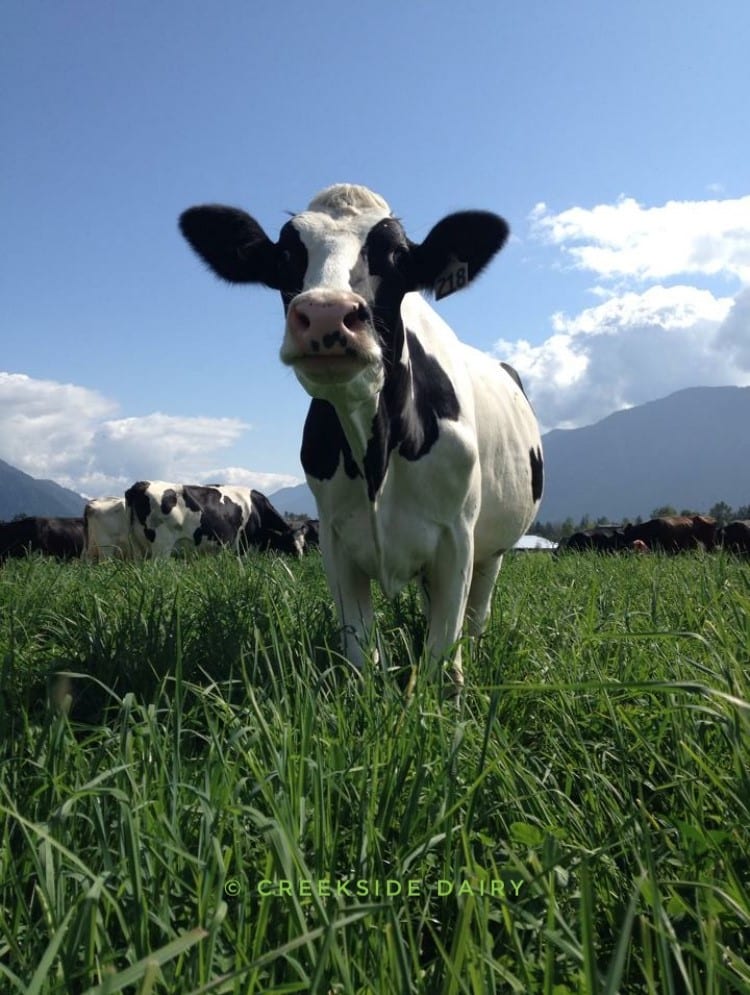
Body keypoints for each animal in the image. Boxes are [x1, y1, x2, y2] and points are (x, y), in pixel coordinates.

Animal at [124, 481, 304, 558]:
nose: (300, 559)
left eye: (304, 543)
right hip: (161, 546)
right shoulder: (242, 545)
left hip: (137, 548)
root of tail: (143, 484)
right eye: (291, 543)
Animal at [179, 183, 543, 694]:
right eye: (286, 254)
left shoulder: (457, 537)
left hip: (492, 549)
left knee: (473, 619)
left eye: (396, 254)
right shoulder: (334, 541)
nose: (325, 313)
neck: (376, 456)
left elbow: (439, 655)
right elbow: (360, 655)